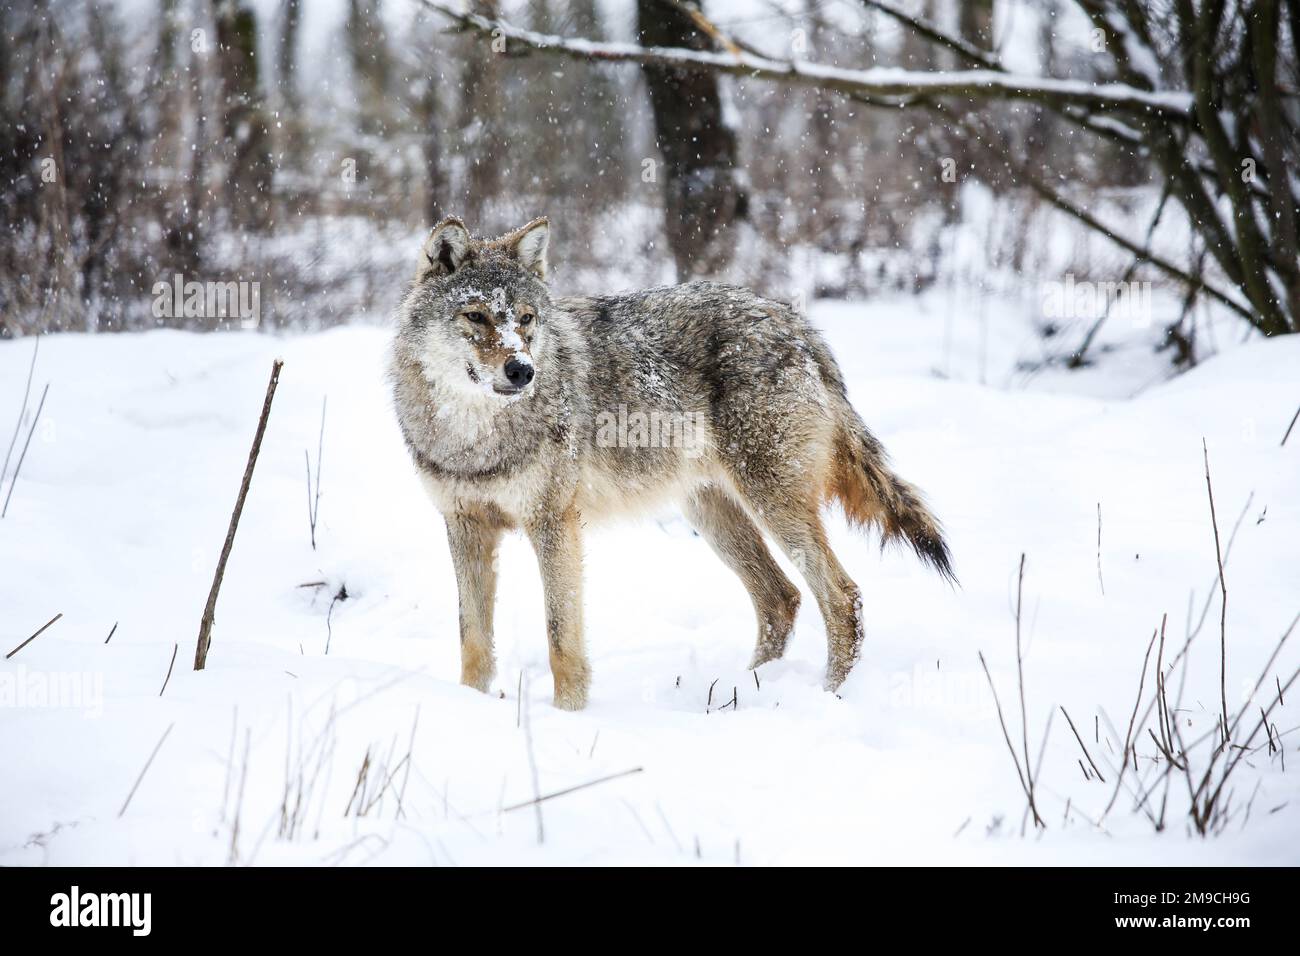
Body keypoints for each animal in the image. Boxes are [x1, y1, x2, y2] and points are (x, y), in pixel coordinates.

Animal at [390, 216, 954, 710]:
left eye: (526, 319)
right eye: (476, 316)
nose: (522, 370)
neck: (474, 437)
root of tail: (795, 322)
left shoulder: (554, 524)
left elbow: (561, 638)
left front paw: (567, 715)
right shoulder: (465, 525)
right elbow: (474, 641)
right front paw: (470, 706)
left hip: (774, 507)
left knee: (842, 599)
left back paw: (826, 696)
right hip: (712, 514)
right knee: (781, 598)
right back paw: (747, 689)